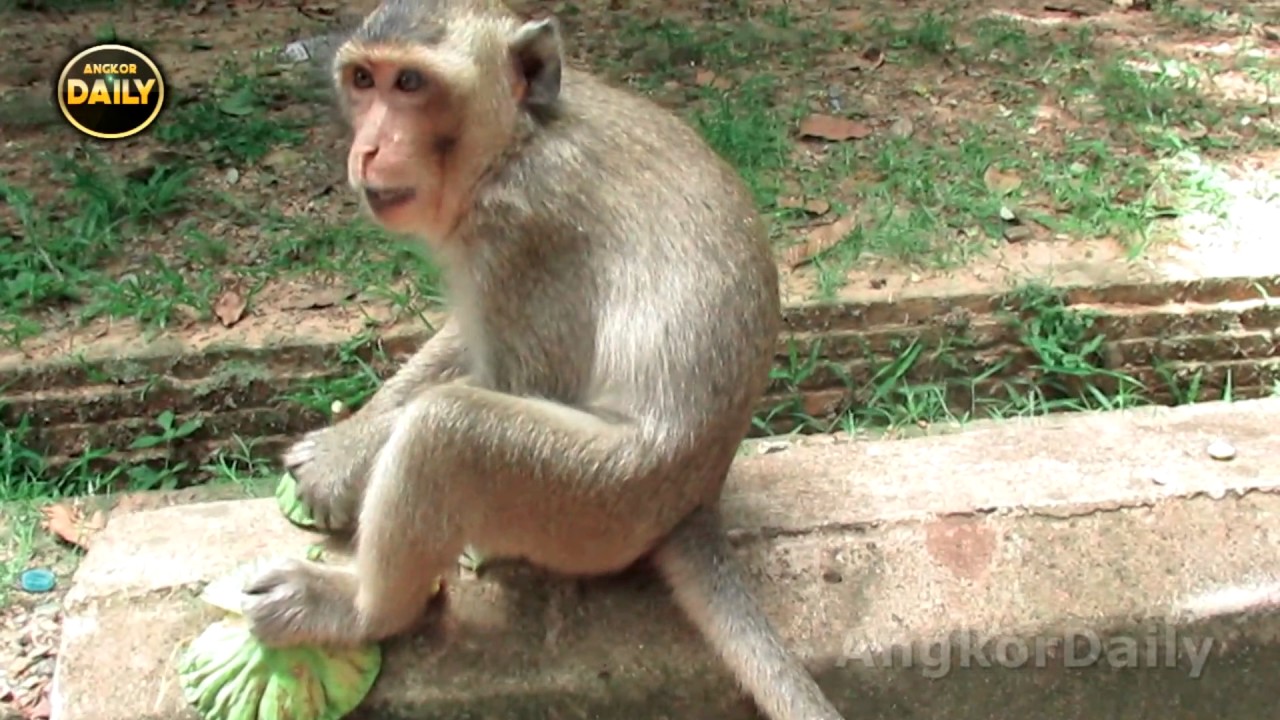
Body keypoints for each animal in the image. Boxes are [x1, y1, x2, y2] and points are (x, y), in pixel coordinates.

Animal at [241, 1, 848, 719]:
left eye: (411, 84)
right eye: (363, 80)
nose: (368, 148)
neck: (518, 140)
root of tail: (696, 500)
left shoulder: (526, 228)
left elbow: (520, 381)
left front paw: (340, 463)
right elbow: (466, 339)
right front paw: (346, 436)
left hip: (598, 505)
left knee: (448, 432)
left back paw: (362, 610)